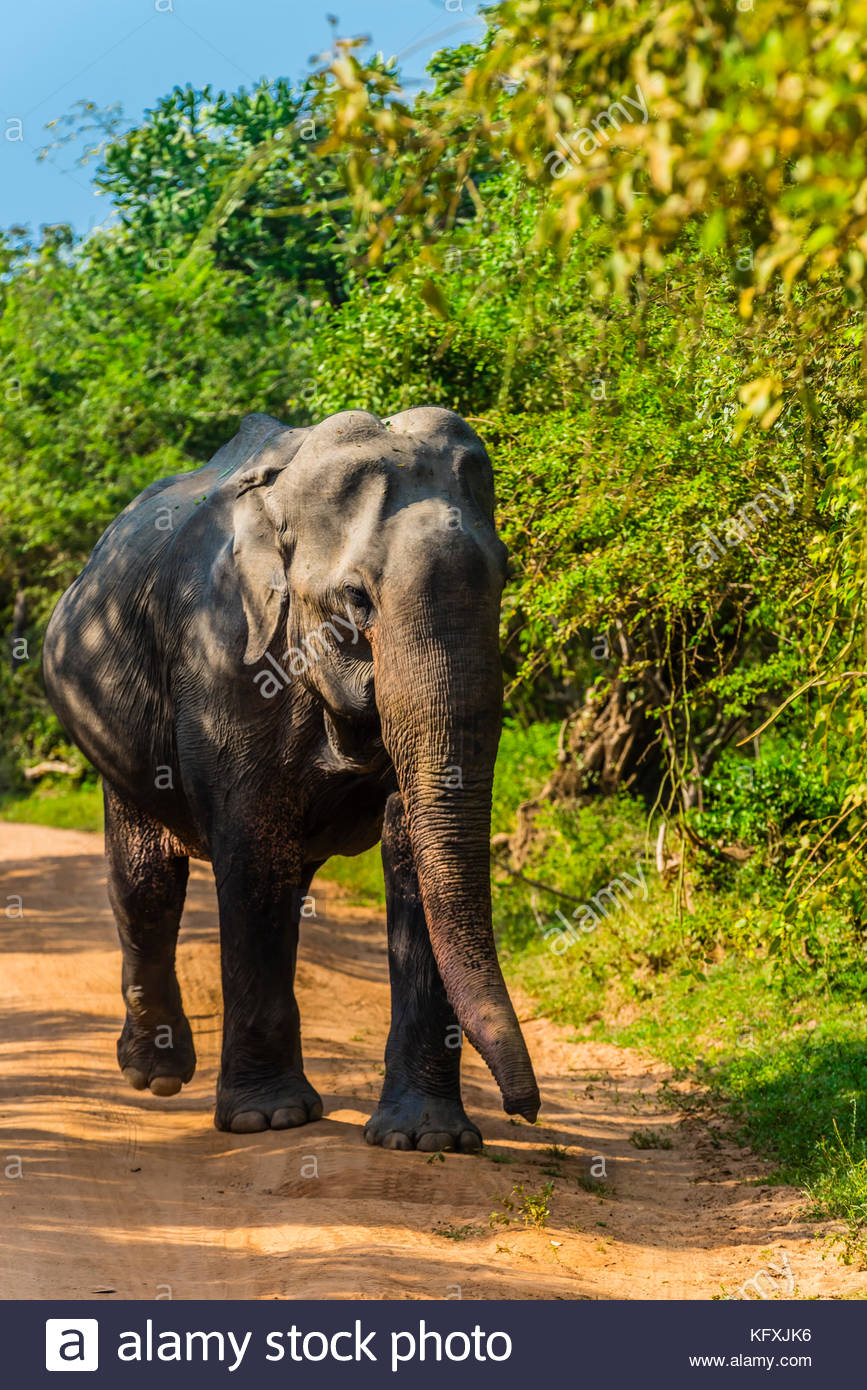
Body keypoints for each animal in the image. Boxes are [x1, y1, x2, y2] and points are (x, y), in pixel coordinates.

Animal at [42, 406, 540, 1149]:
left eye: (503, 579)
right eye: (357, 599)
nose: (524, 1110)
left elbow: (410, 850)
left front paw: (427, 1138)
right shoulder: (223, 658)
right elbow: (253, 852)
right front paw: (269, 1120)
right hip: (115, 738)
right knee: (146, 885)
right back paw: (157, 1078)